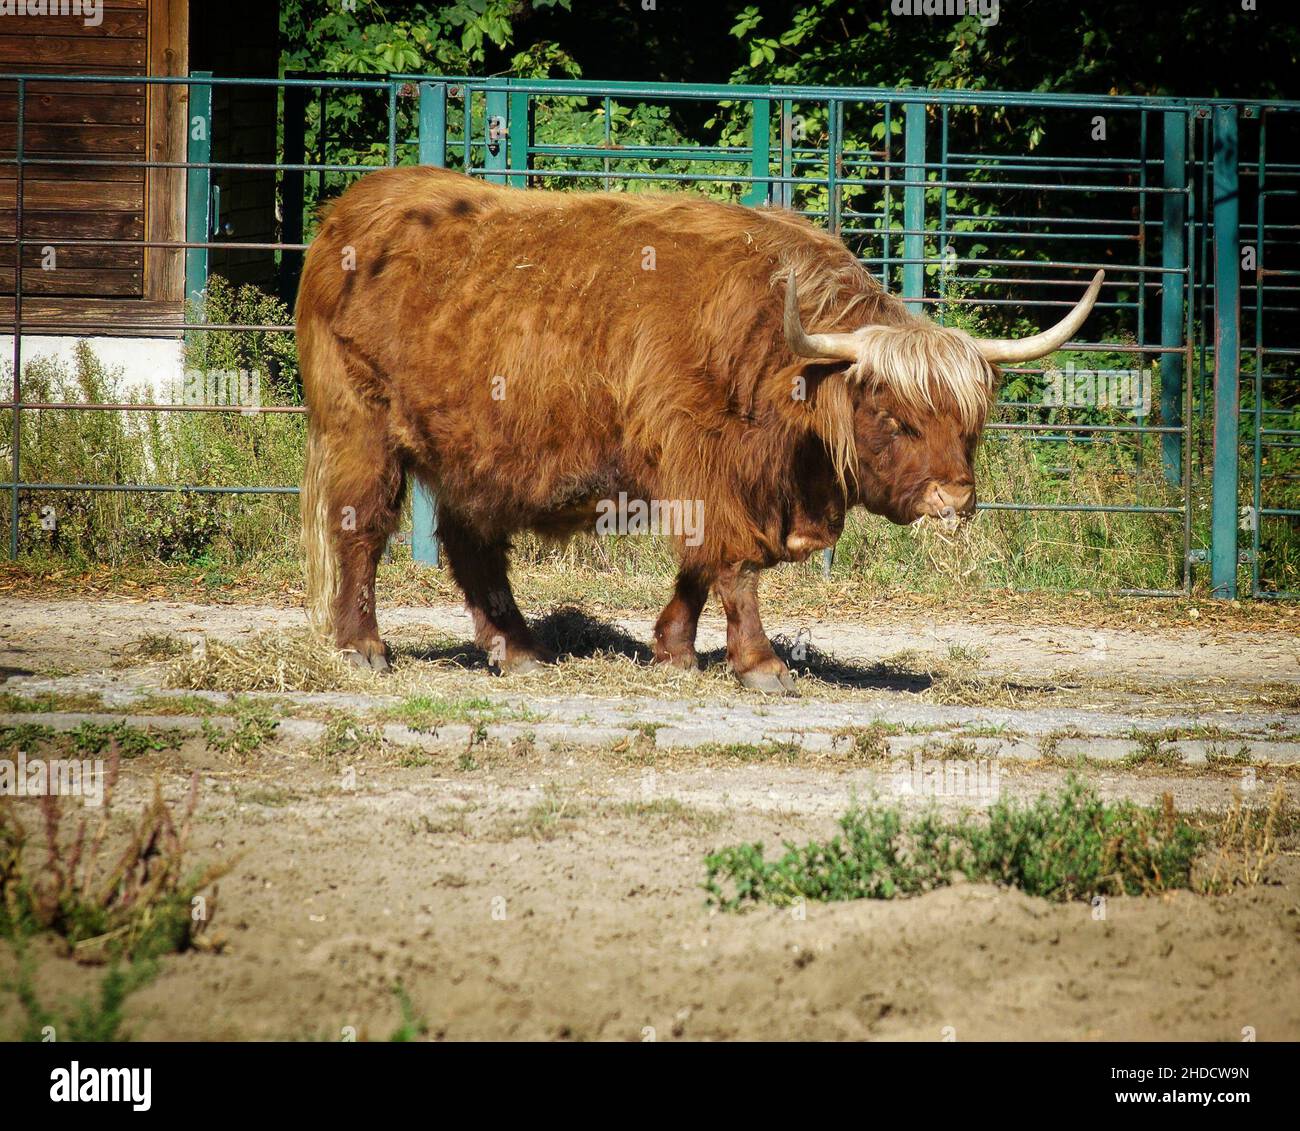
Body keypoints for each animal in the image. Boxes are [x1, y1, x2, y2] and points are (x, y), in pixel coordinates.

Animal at [296, 166, 1101, 692]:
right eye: (894, 418)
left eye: (969, 422)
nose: (954, 499)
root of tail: (352, 208)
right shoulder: (701, 456)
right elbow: (734, 562)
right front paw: (761, 664)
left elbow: (700, 563)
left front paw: (675, 650)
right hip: (362, 427)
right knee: (359, 528)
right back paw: (363, 646)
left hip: (474, 451)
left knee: (473, 547)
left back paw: (517, 649)